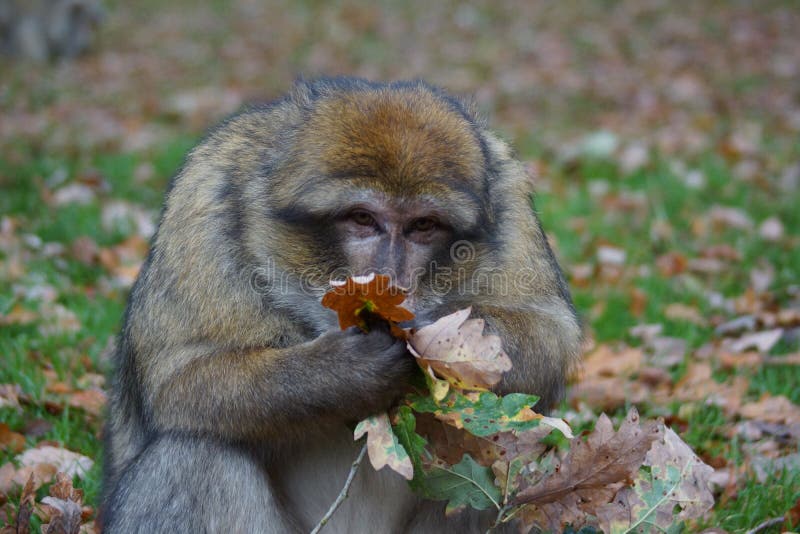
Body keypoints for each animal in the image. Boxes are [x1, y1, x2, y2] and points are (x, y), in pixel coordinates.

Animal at [101, 77, 582, 533]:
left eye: (423, 225)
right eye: (362, 219)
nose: (389, 280)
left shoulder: (510, 199)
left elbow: (550, 338)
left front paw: (434, 332)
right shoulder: (205, 201)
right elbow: (179, 379)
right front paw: (346, 371)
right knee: (195, 453)